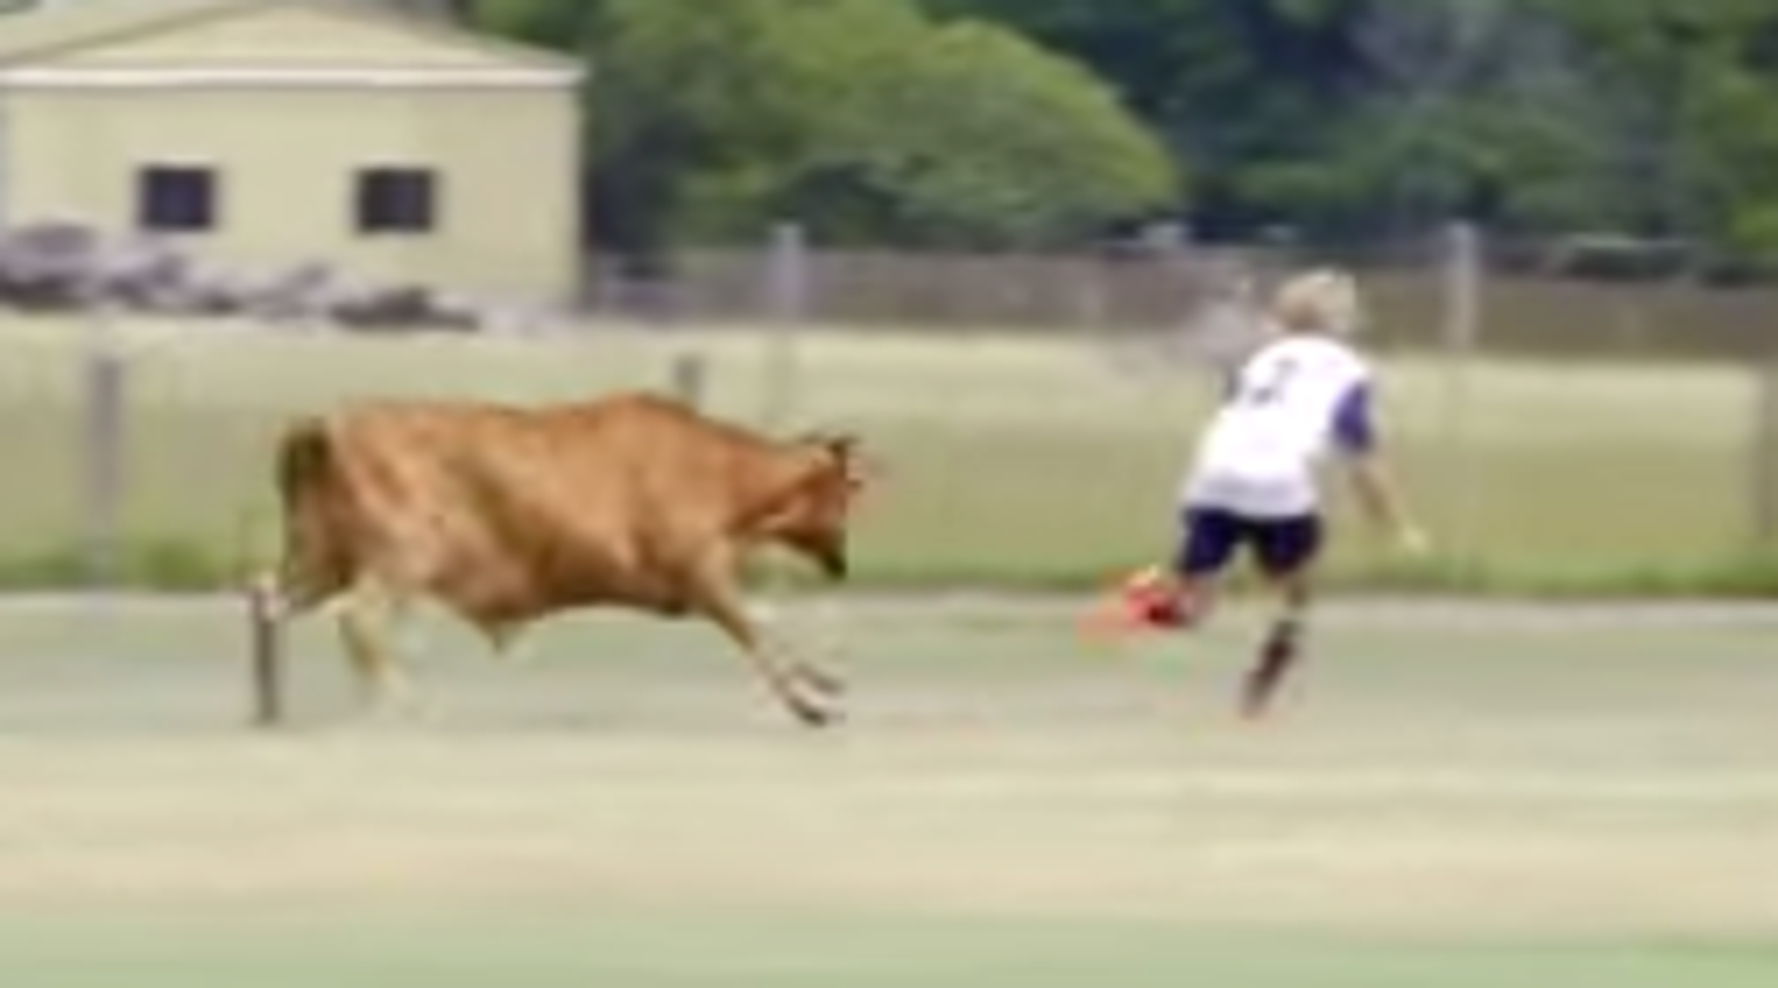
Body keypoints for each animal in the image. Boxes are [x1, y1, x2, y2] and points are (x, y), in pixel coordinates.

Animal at [248, 391, 873, 728]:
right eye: (851, 487)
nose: (844, 563)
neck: (719, 469)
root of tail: (324, 425)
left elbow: (760, 629)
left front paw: (824, 688)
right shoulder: (702, 573)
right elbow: (758, 630)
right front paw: (817, 700)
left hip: (318, 561)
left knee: (270, 601)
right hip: (402, 559)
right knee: (360, 621)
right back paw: (401, 706)